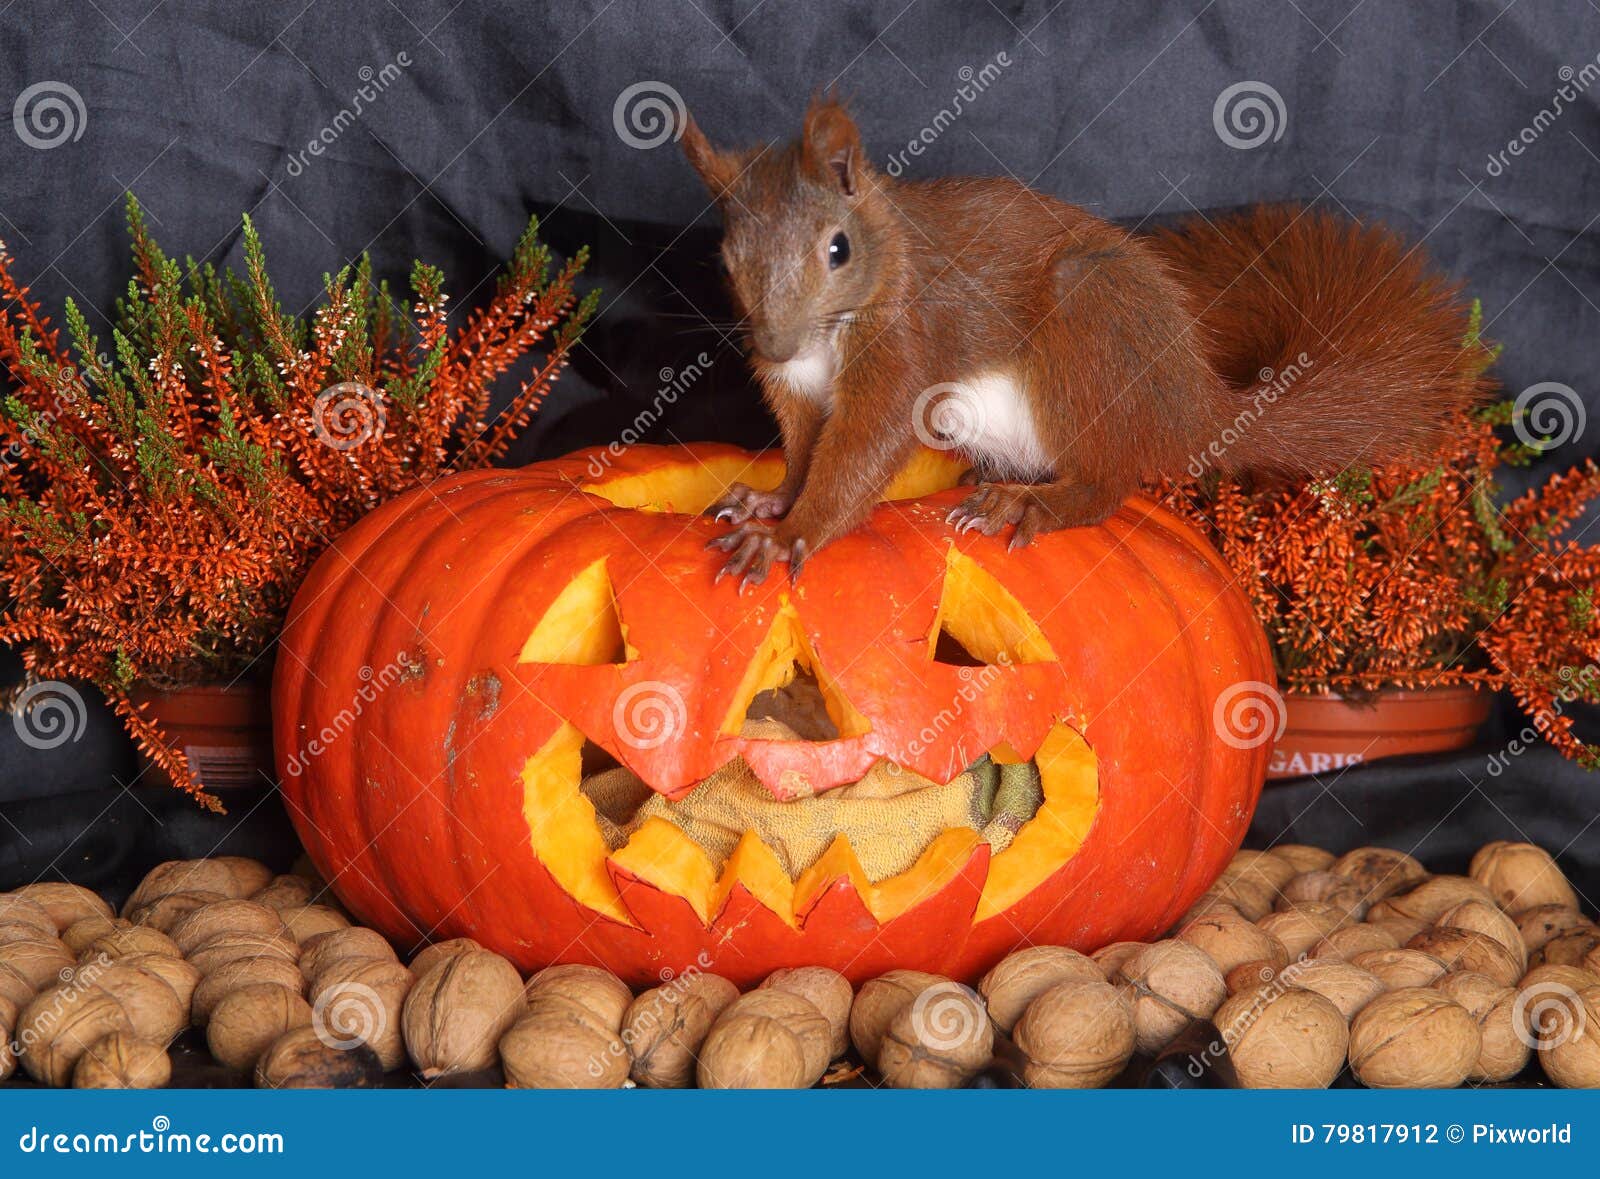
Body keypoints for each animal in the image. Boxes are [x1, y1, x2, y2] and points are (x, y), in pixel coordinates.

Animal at [681, 95, 1486, 585]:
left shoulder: (908, 343)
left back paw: (1029, 504)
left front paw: (793, 534)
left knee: (1108, 481)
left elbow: (860, 454)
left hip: (1087, 329)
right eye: (725, 258)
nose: (775, 346)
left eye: (838, 250)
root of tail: (1191, 411)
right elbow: (802, 450)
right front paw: (771, 501)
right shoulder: (797, 390)